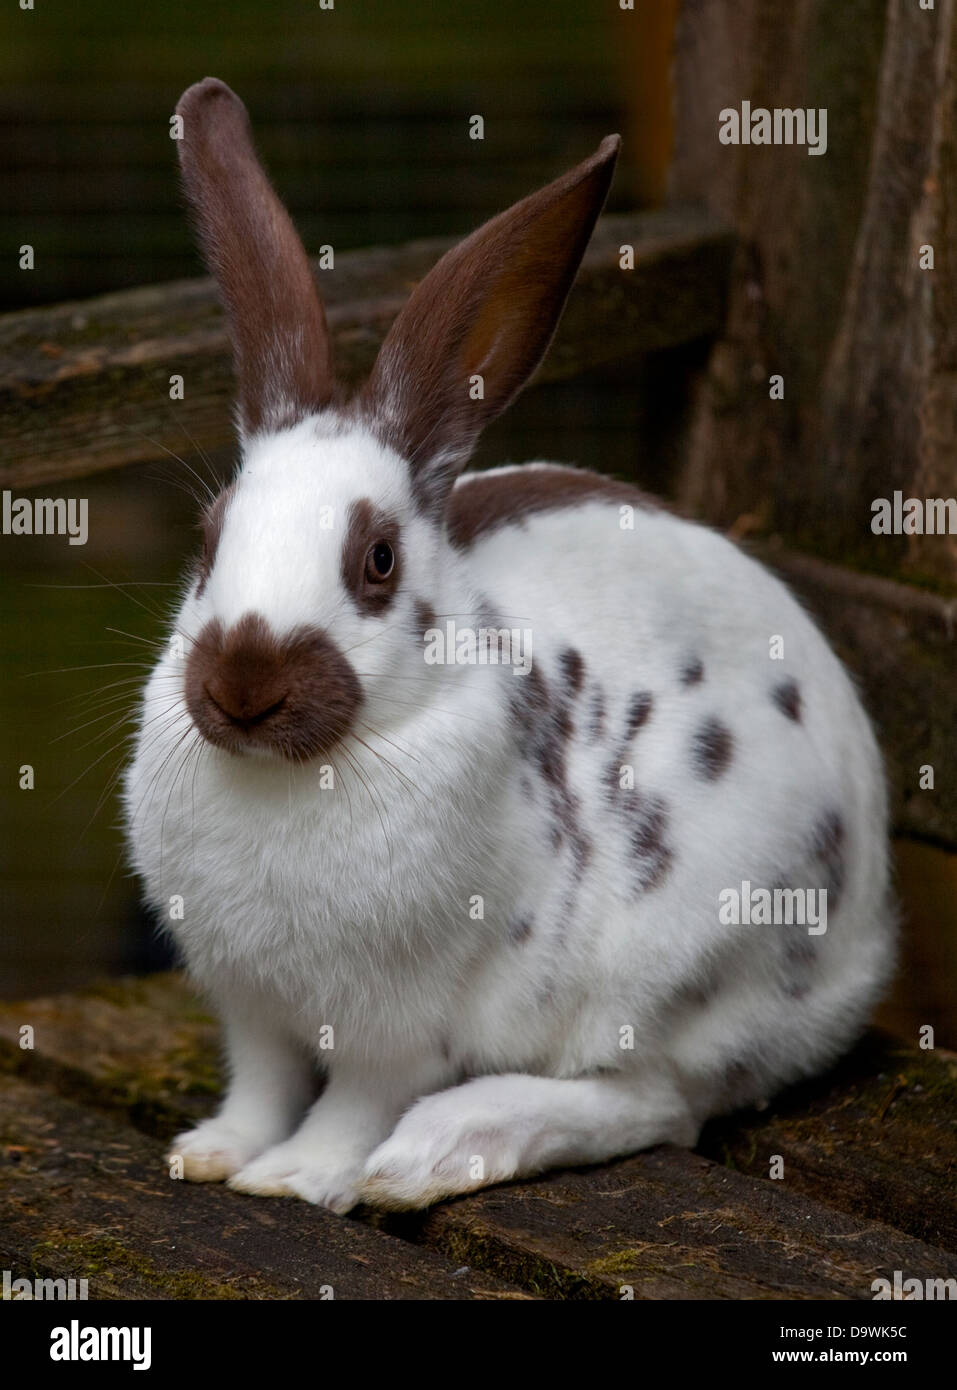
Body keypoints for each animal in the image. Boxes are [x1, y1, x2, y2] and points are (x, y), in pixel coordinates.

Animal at [124, 77, 896, 1214]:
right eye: (210, 535)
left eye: (380, 560)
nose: (243, 684)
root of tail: (865, 954)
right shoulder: (251, 1006)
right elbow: (262, 1084)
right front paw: (217, 1152)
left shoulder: (398, 1026)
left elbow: (353, 1102)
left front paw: (301, 1181)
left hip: (683, 957)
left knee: (659, 1103)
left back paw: (441, 1150)